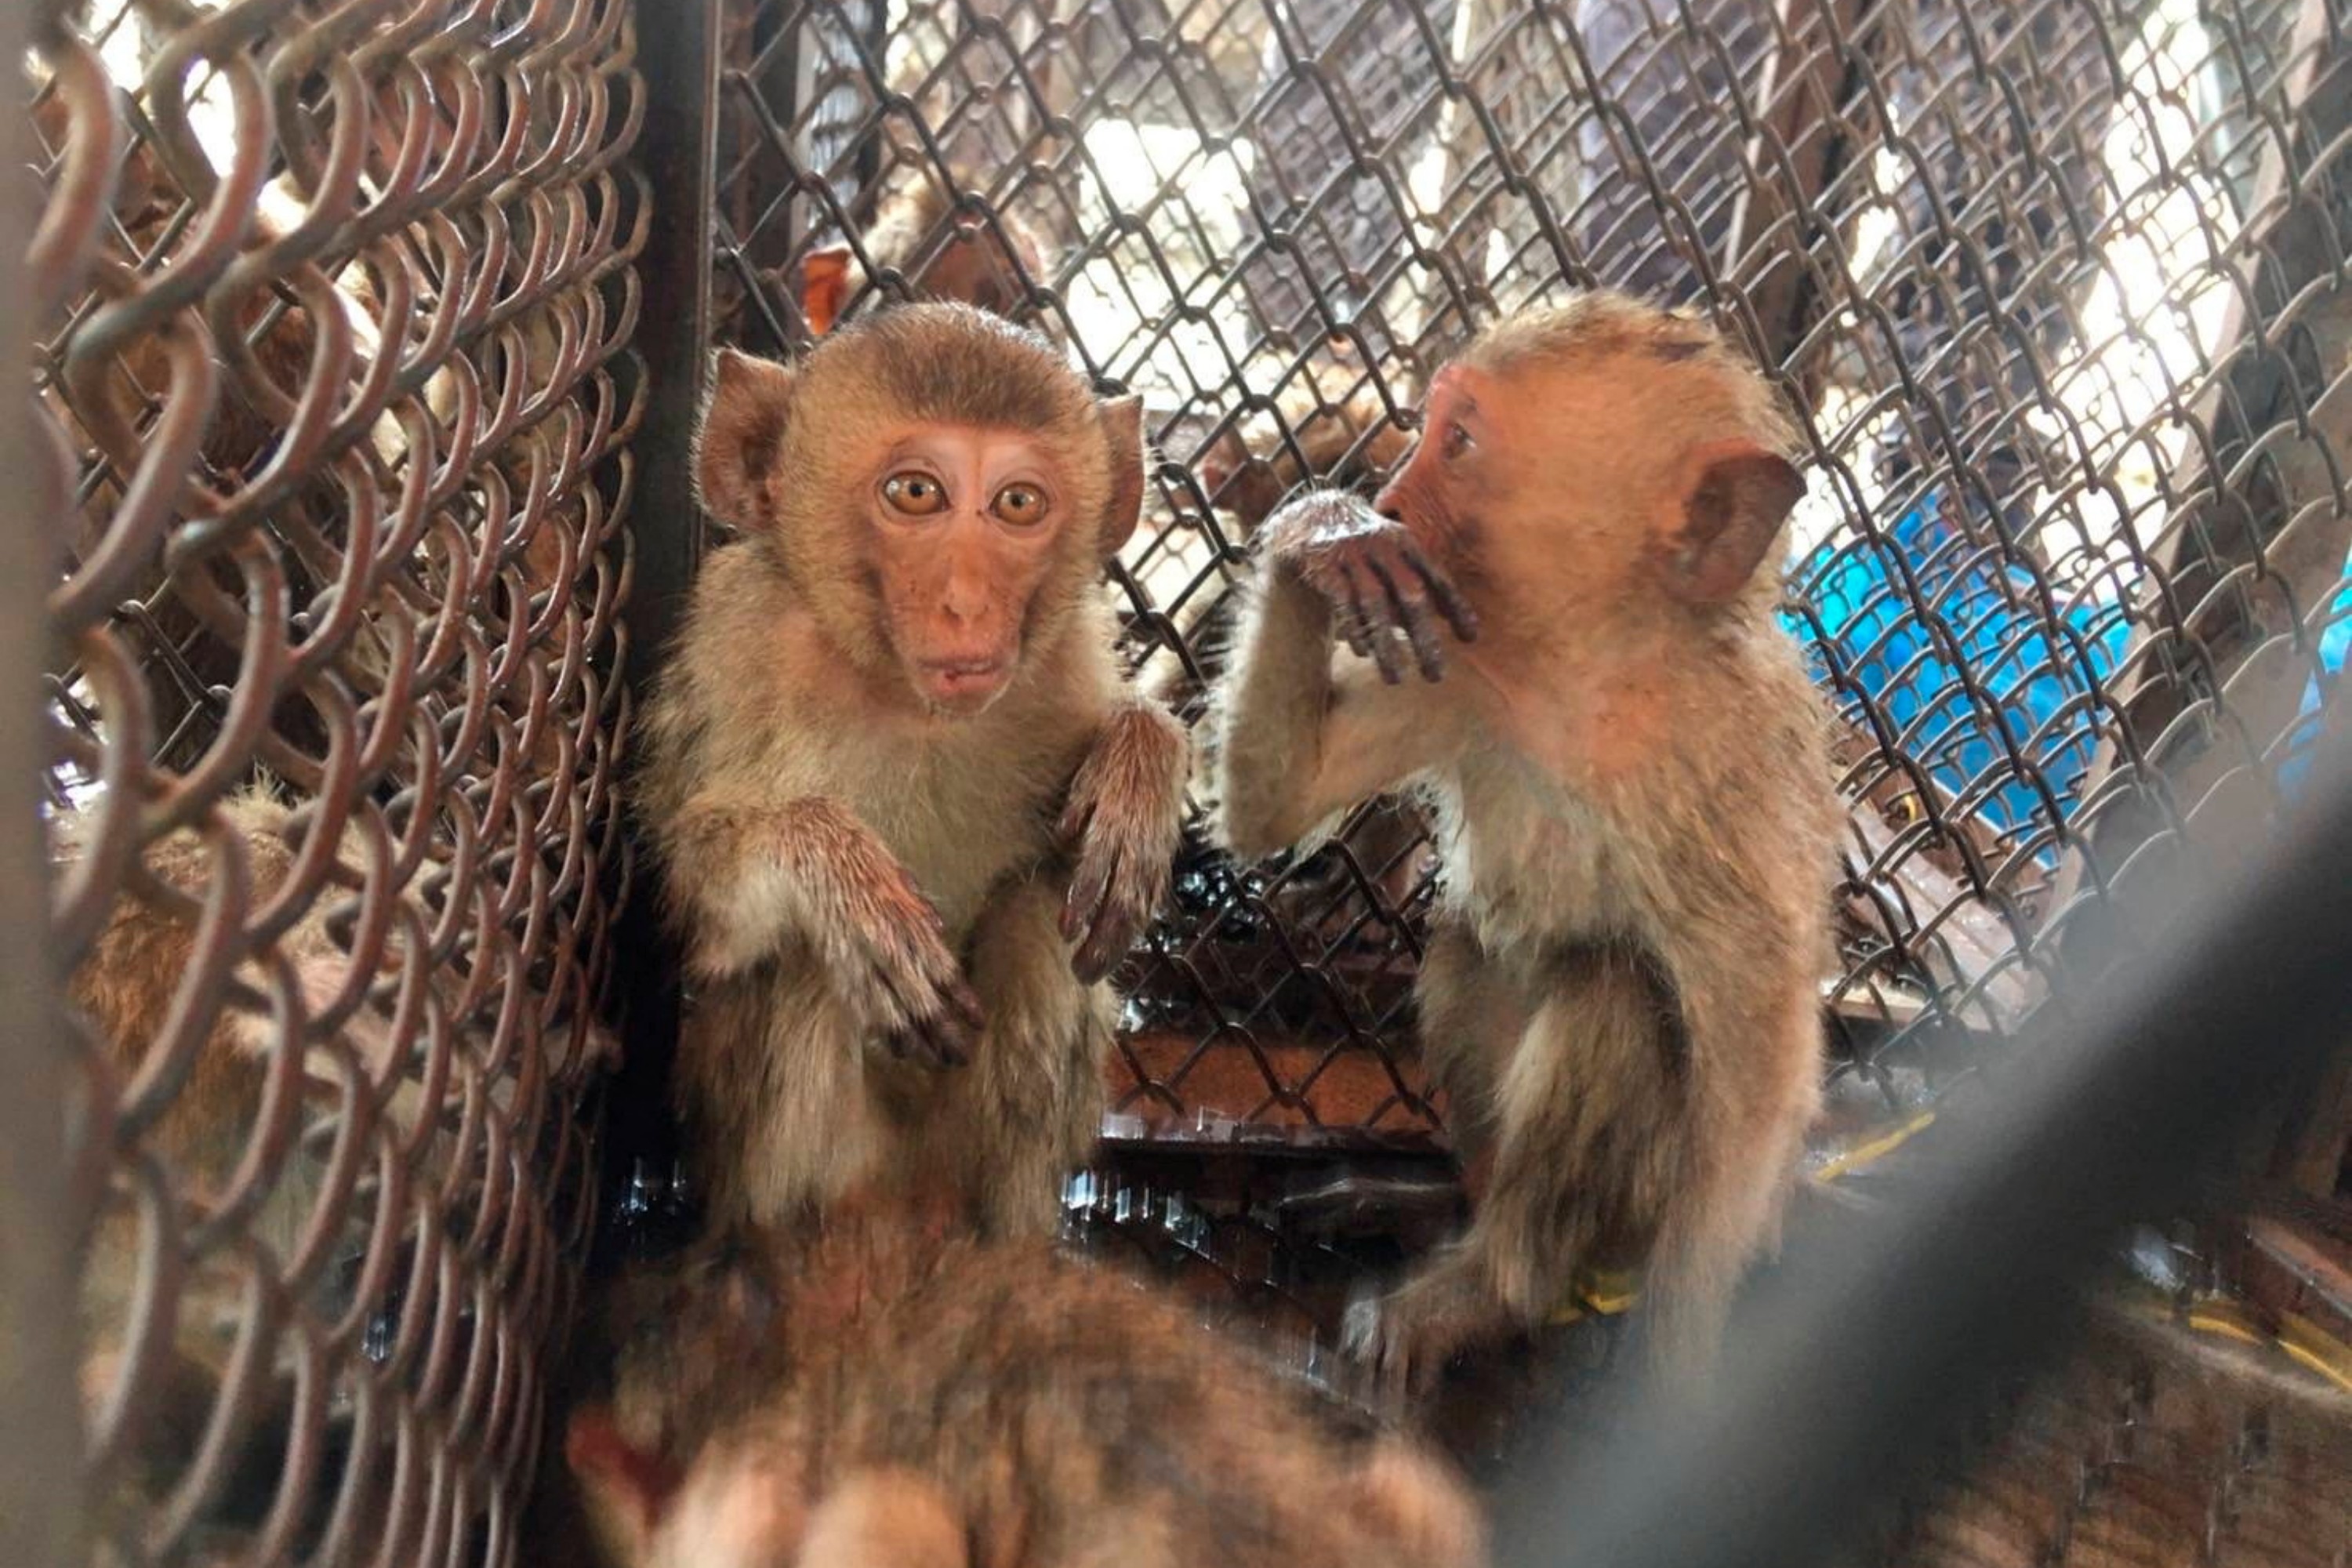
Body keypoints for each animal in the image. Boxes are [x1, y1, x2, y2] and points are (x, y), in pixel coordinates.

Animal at [638, 302, 1191, 1238]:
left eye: (1017, 503)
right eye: (915, 493)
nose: (967, 603)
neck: (901, 694)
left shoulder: (1068, 658)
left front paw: (1140, 761)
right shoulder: (733, 647)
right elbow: (699, 917)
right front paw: (831, 867)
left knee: (1035, 922)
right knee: (811, 969)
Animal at [1210, 291, 1841, 1384]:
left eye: (1459, 442)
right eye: (1431, 427)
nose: (1391, 495)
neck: (1585, 676)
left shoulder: (1724, 763)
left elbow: (1761, 1042)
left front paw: (1678, 1355)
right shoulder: (1461, 660)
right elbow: (1272, 806)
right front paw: (1323, 537)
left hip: (1640, 1202)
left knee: (1611, 994)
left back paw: (1499, 1284)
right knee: (1470, 944)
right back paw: (1447, 1205)